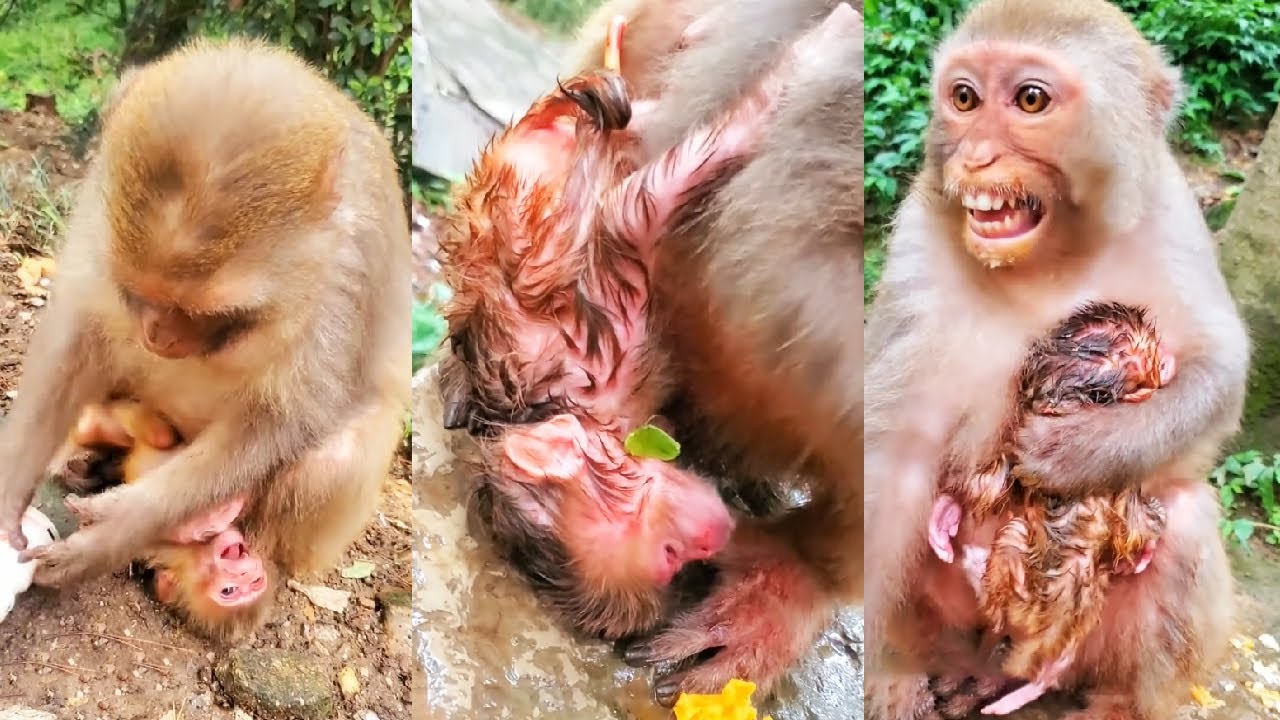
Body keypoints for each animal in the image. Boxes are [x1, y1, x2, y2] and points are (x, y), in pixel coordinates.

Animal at [0, 37, 410, 644]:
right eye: (138, 293)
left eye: (209, 313)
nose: (159, 335)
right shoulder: (97, 212)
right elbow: (77, 333)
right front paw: (7, 496)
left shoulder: (349, 274)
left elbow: (284, 420)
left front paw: (118, 530)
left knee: (330, 458)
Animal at [439, 8, 858, 657]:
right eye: (671, 560)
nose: (708, 541)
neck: (565, 410)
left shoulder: (600, 334)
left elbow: (647, 203)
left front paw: (828, 41)